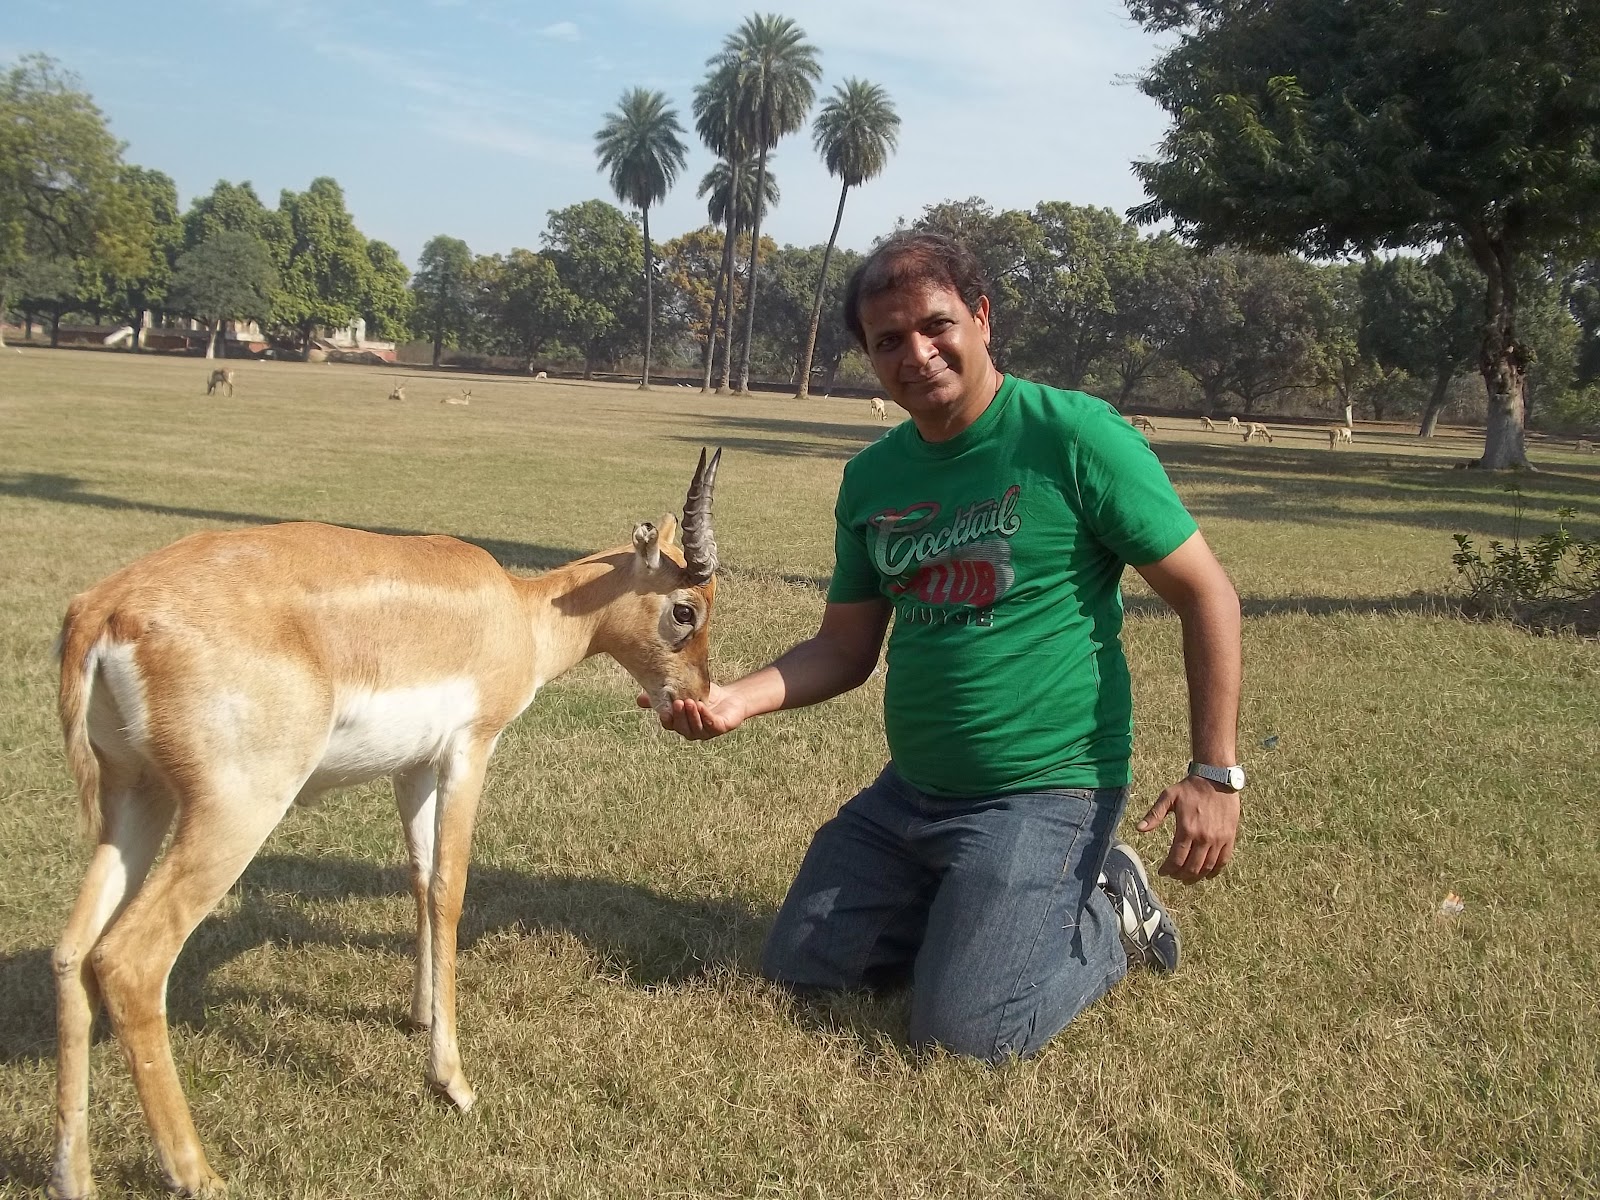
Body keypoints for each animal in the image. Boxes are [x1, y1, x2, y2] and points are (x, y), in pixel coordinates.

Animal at [47, 450, 725, 1200]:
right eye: (685, 608)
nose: (694, 697)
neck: (520, 613)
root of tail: (105, 609)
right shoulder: (469, 750)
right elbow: (452, 889)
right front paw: (453, 1083)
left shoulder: (413, 768)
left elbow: (421, 879)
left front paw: (420, 1015)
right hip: (234, 811)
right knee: (129, 961)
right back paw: (198, 1171)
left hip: (137, 799)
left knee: (72, 952)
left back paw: (73, 1175)